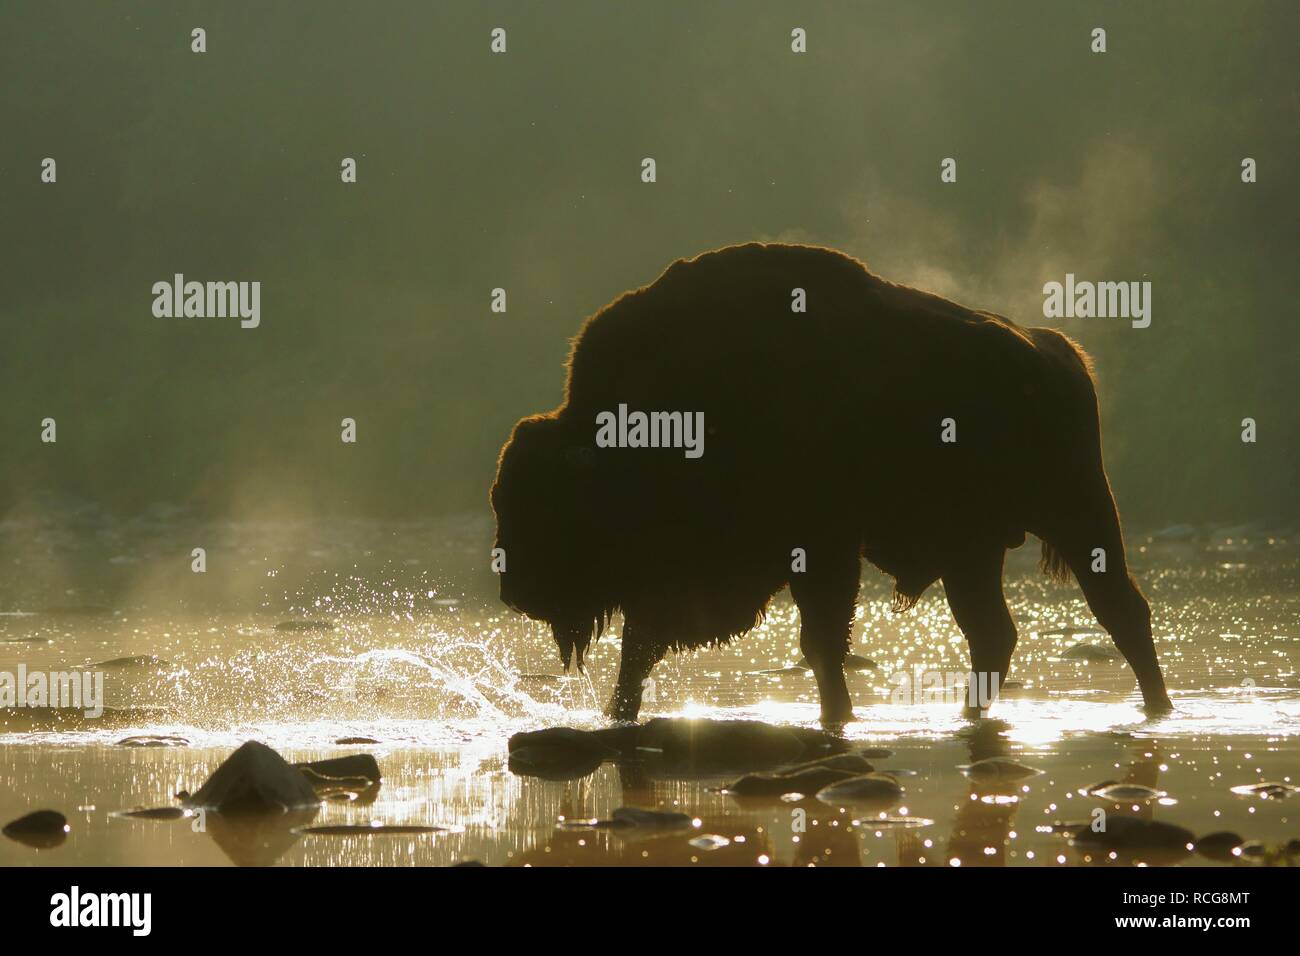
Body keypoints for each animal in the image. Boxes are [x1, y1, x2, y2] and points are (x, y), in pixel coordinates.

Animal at [490, 242, 1172, 724]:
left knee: (1120, 611)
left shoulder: (823, 550)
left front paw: (837, 717)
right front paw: (618, 715)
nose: (513, 590)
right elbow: (640, 649)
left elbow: (820, 642)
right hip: (972, 552)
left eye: (548, 505)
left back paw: (1158, 708)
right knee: (994, 633)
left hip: (1079, 513)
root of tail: (1053, 349)